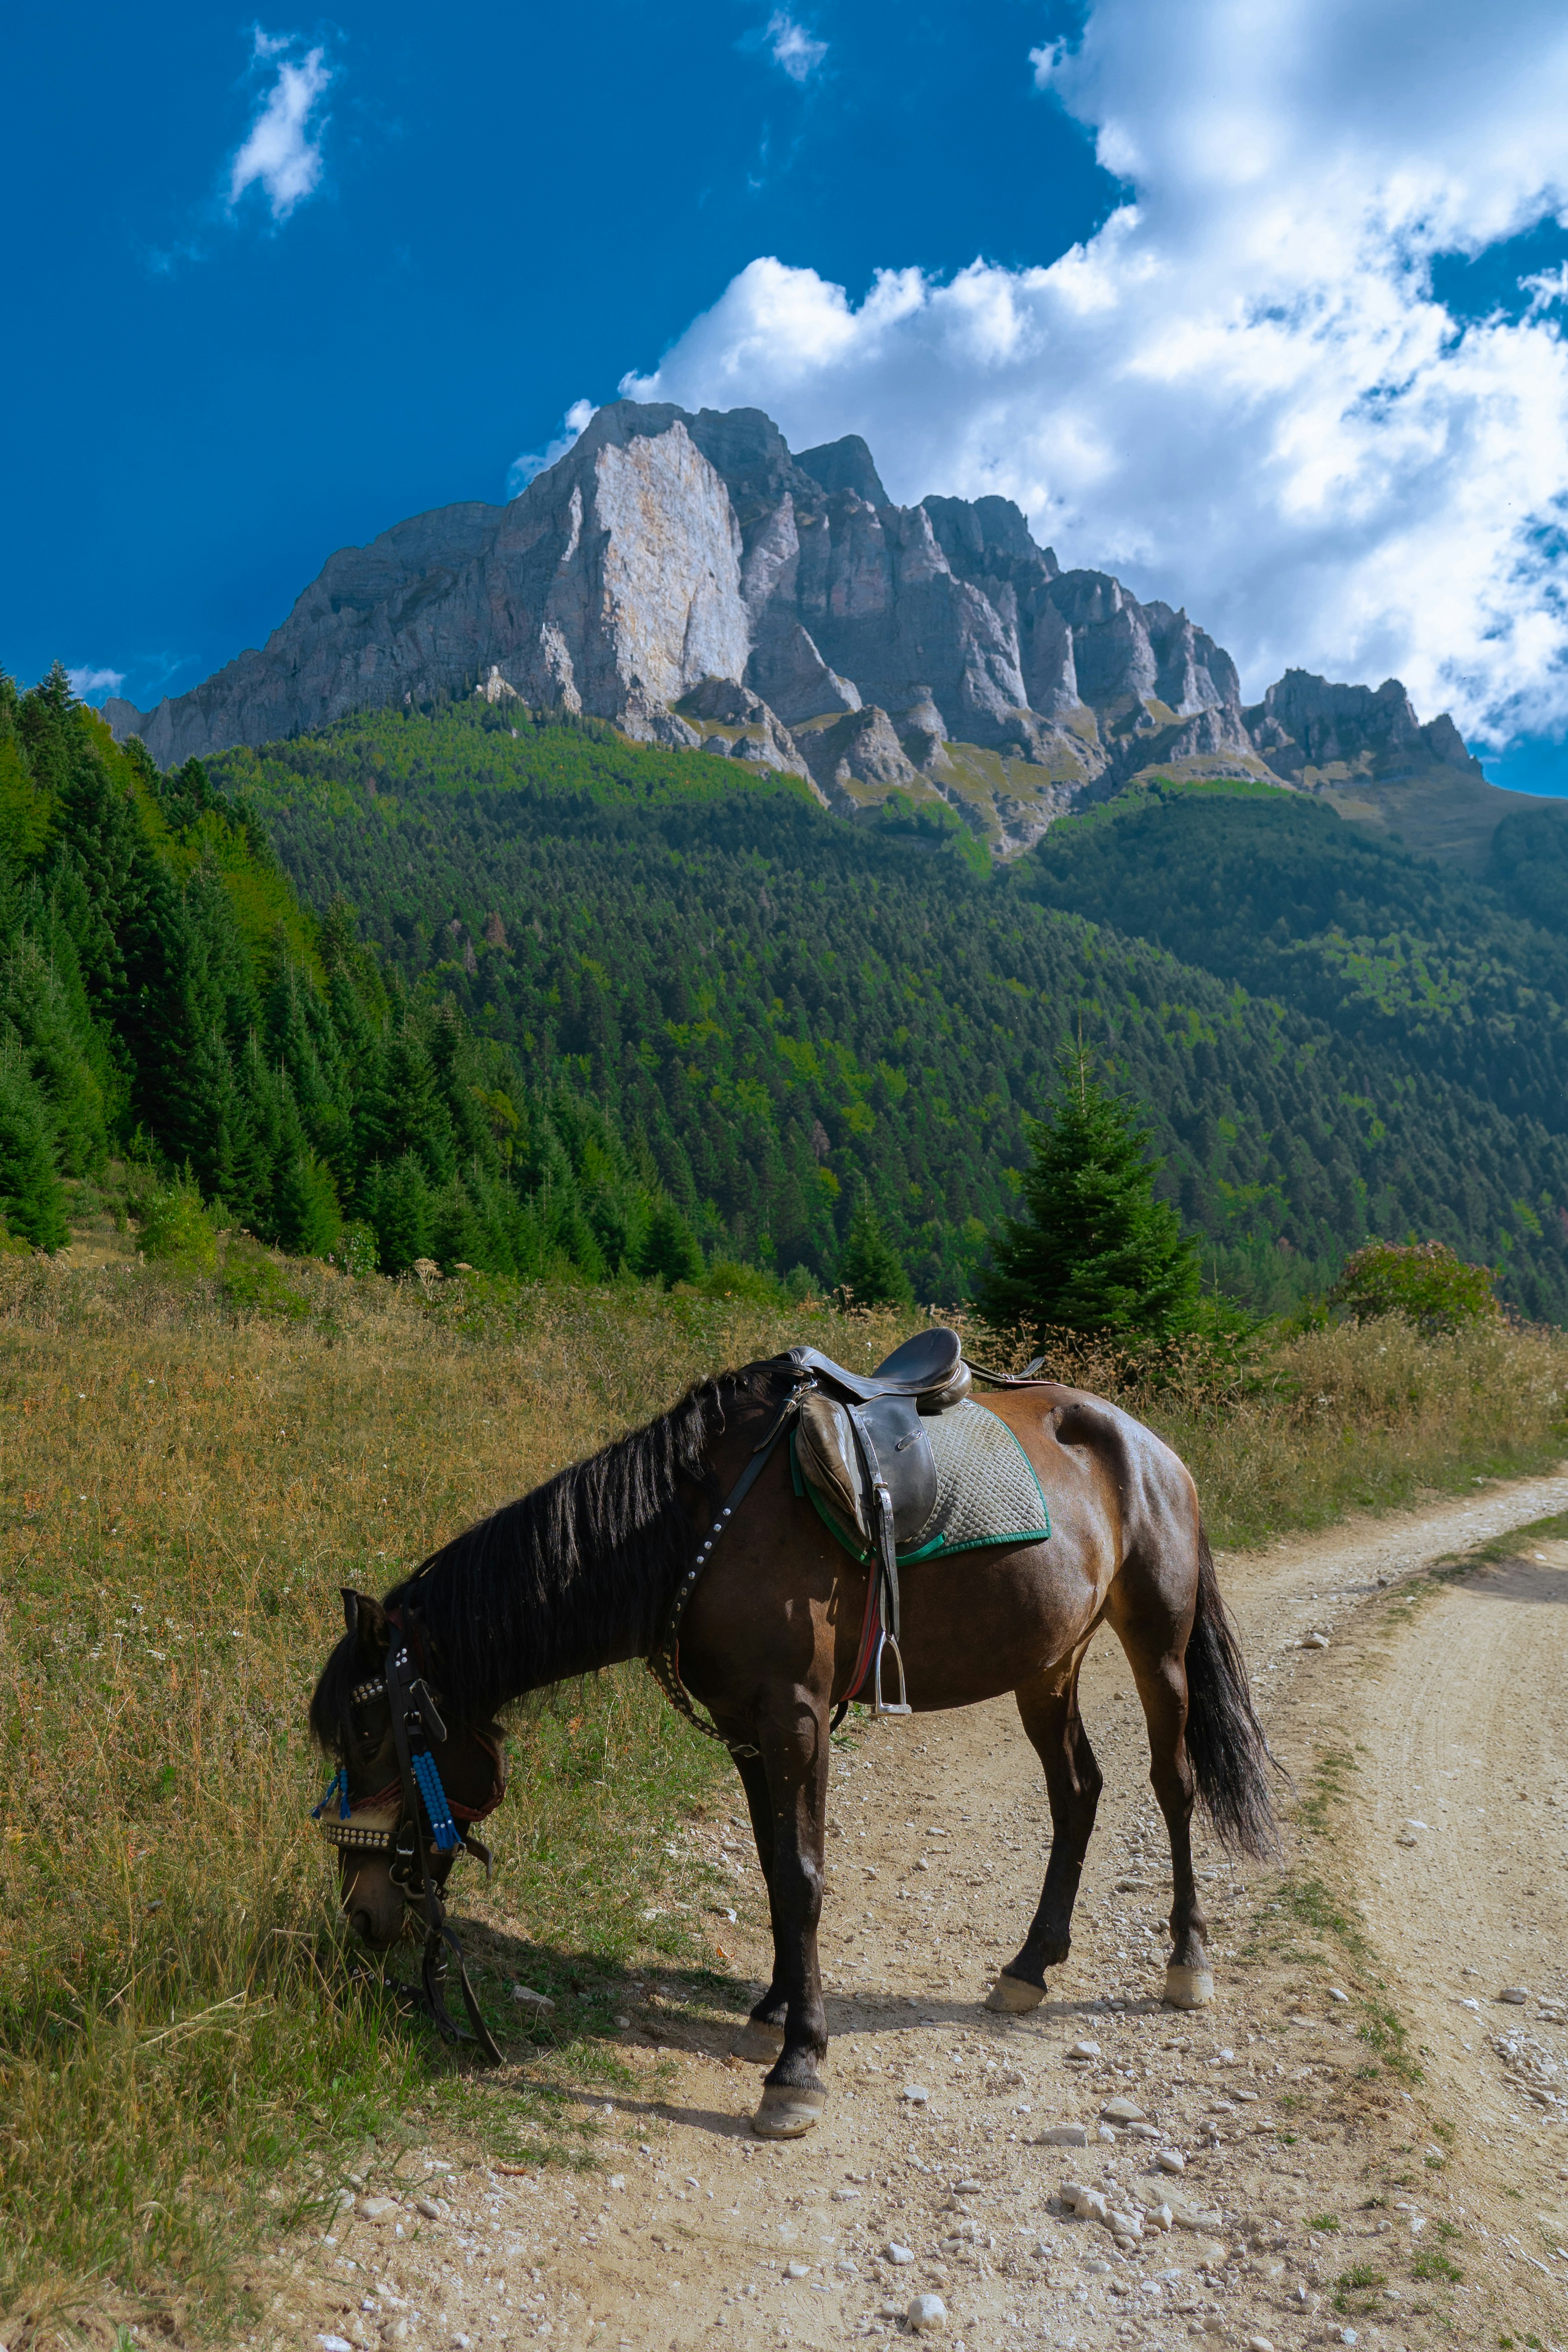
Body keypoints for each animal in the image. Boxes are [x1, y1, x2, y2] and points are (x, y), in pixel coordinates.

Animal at [308, 1348, 1278, 2138]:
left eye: (375, 1727)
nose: (362, 1909)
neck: (693, 1523)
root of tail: (1148, 1445)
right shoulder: (745, 1729)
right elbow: (773, 1866)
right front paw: (776, 2003)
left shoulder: (797, 1717)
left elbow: (806, 1875)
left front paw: (799, 2068)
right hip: (1047, 1661)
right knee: (1077, 1792)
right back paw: (1029, 1967)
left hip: (1157, 1643)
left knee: (1173, 1784)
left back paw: (1186, 1960)